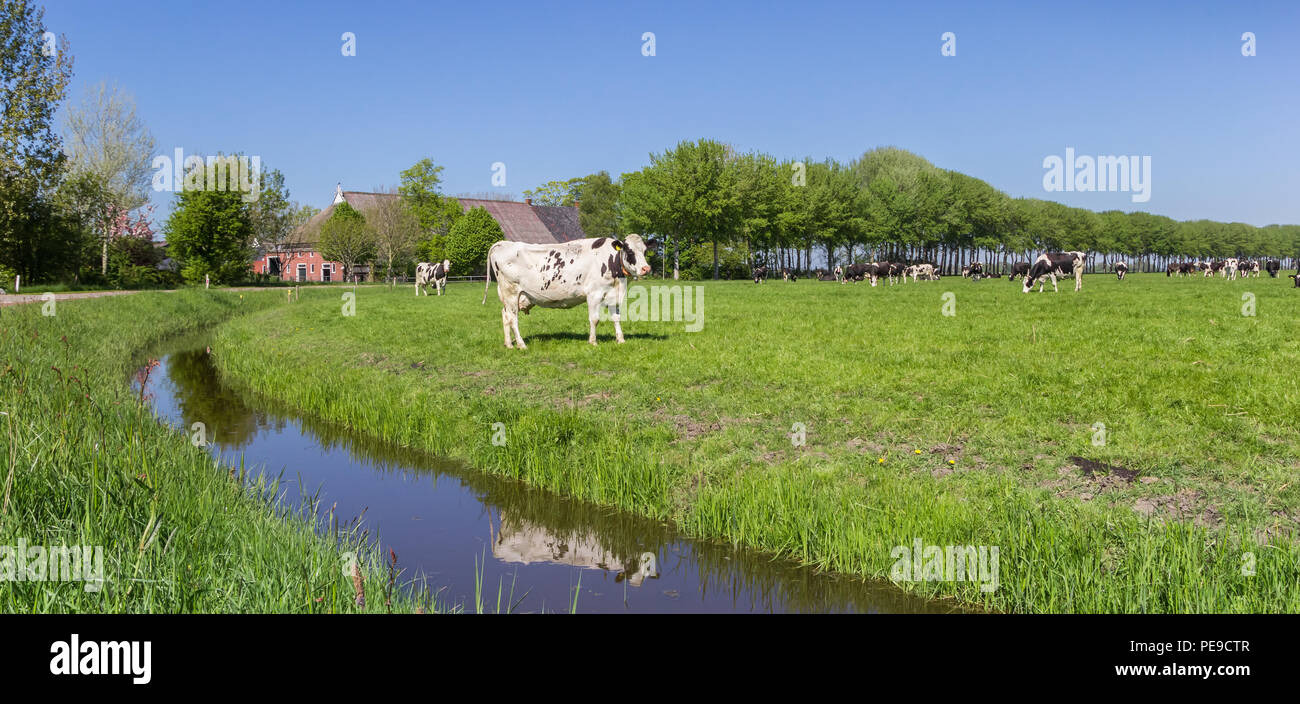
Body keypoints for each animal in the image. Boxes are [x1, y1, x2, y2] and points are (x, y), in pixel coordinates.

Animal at [482, 234, 653, 349]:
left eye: (645, 251)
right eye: (629, 251)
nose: (646, 268)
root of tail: (504, 244)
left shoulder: (613, 294)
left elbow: (616, 318)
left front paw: (620, 340)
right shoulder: (594, 294)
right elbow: (595, 319)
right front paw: (593, 342)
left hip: (509, 296)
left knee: (505, 316)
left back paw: (509, 344)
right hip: (511, 292)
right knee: (513, 318)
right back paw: (521, 344)